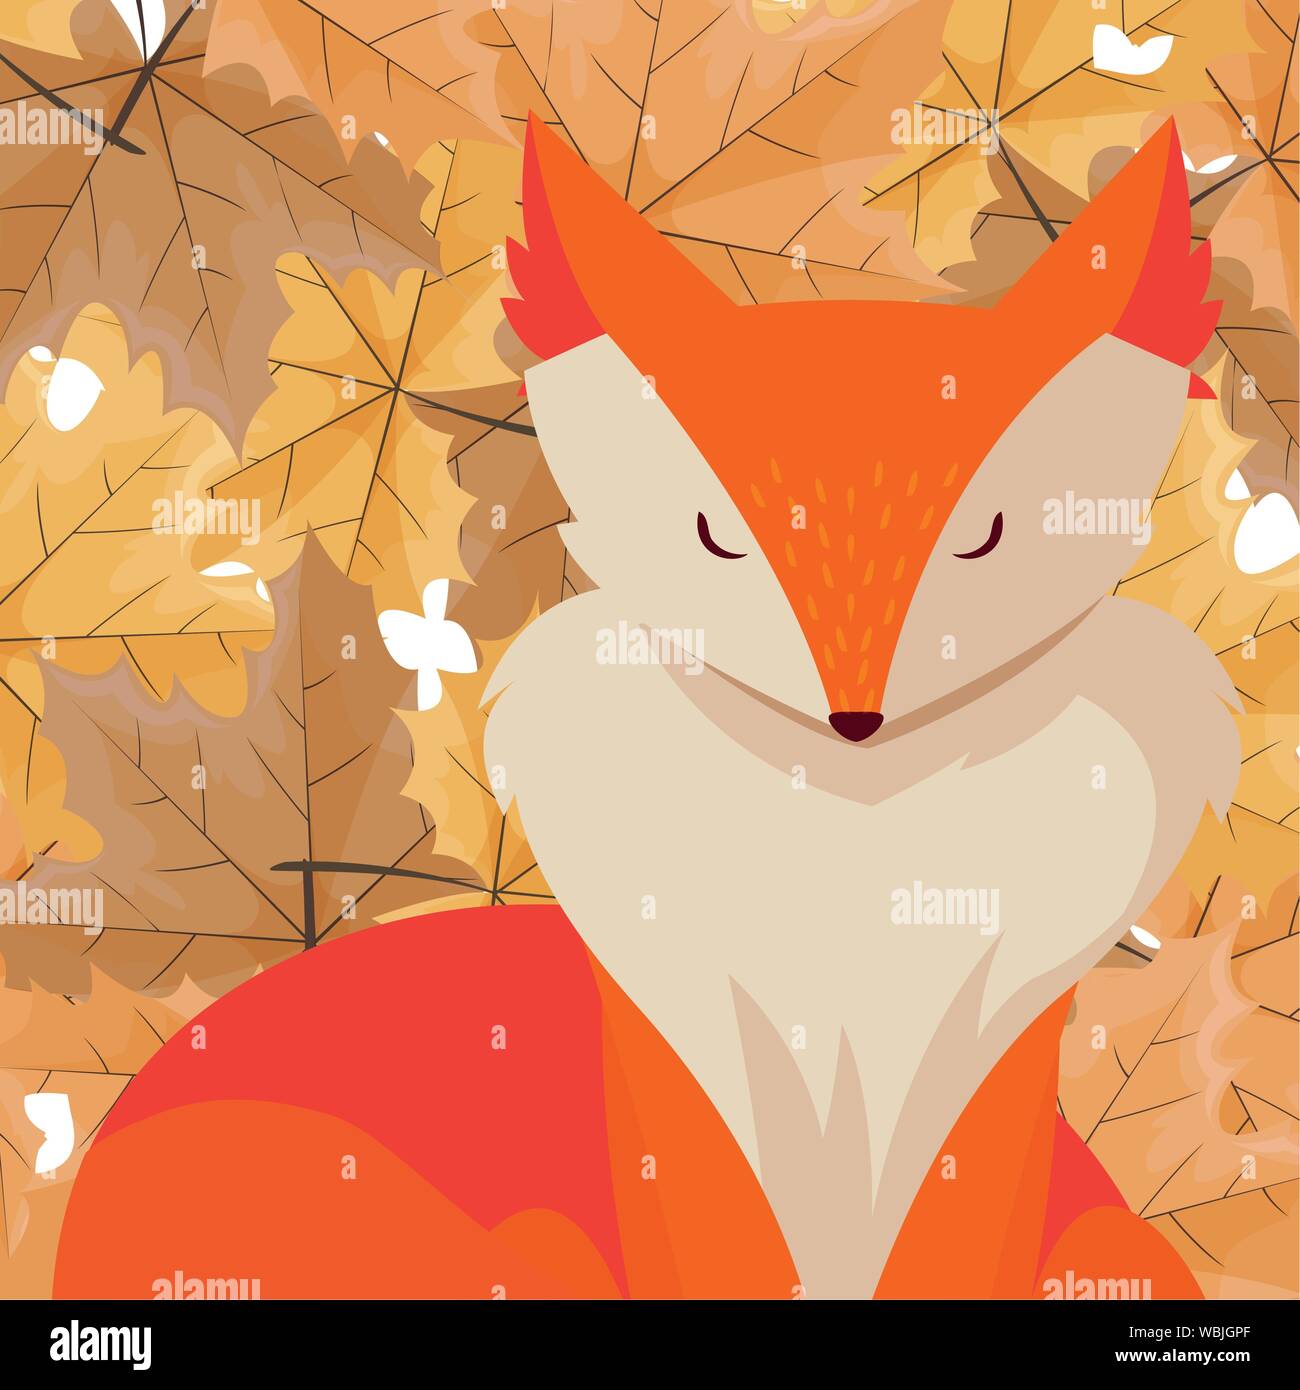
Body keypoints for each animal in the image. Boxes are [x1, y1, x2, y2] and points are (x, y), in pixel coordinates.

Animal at [52, 116, 1238, 1301]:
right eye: (715, 537)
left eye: (985, 538)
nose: (854, 719)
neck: (850, 858)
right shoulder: (682, 1061)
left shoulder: (989, 1074)